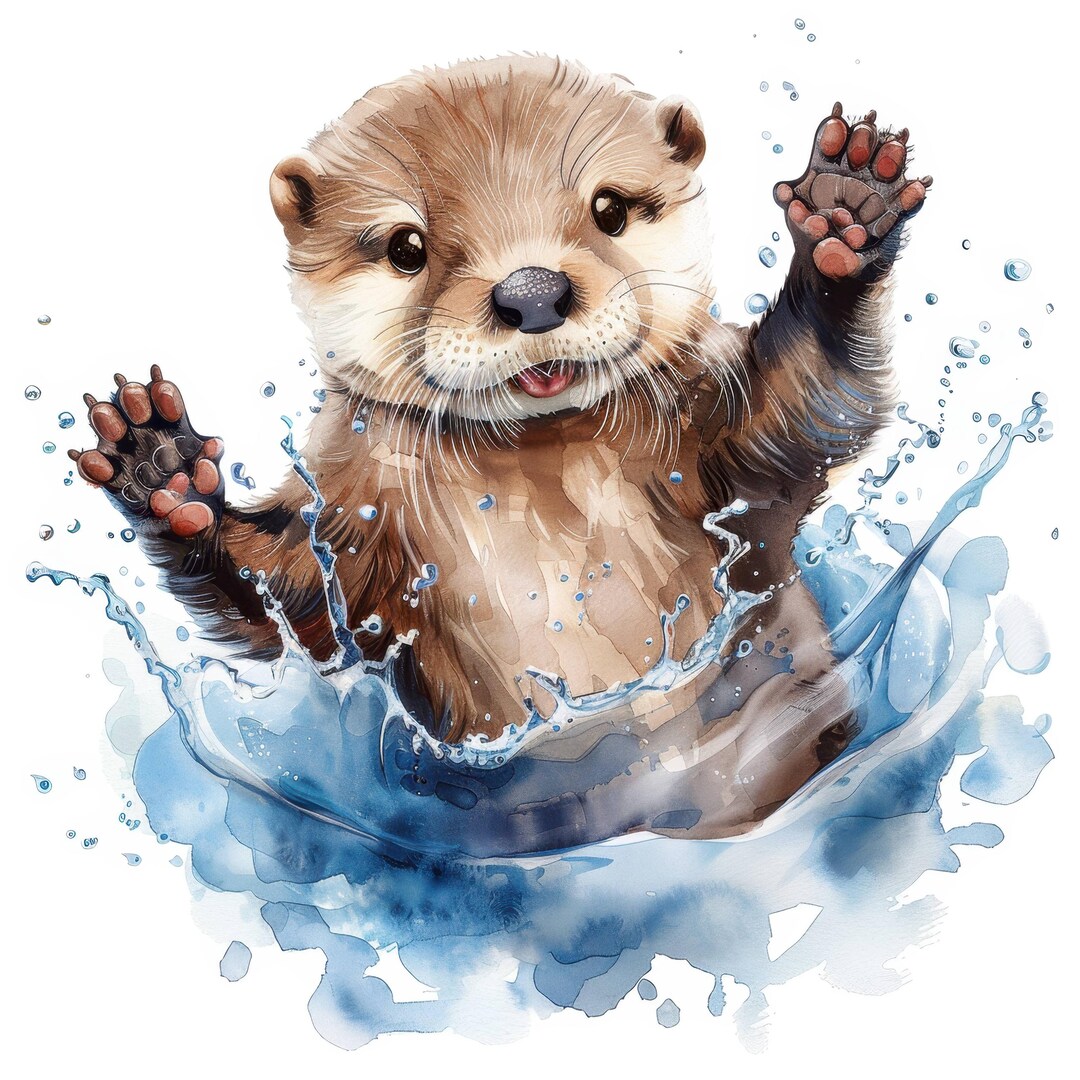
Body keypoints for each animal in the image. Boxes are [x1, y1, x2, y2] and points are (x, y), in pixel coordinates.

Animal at [70, 56, 929, 837]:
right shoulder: (351, 520)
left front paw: (844, 214)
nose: (531, 291)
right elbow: (285, 602)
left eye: (609, 208)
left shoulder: (728, 450)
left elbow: (811, 406)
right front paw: (166, 472)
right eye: (406, 246)